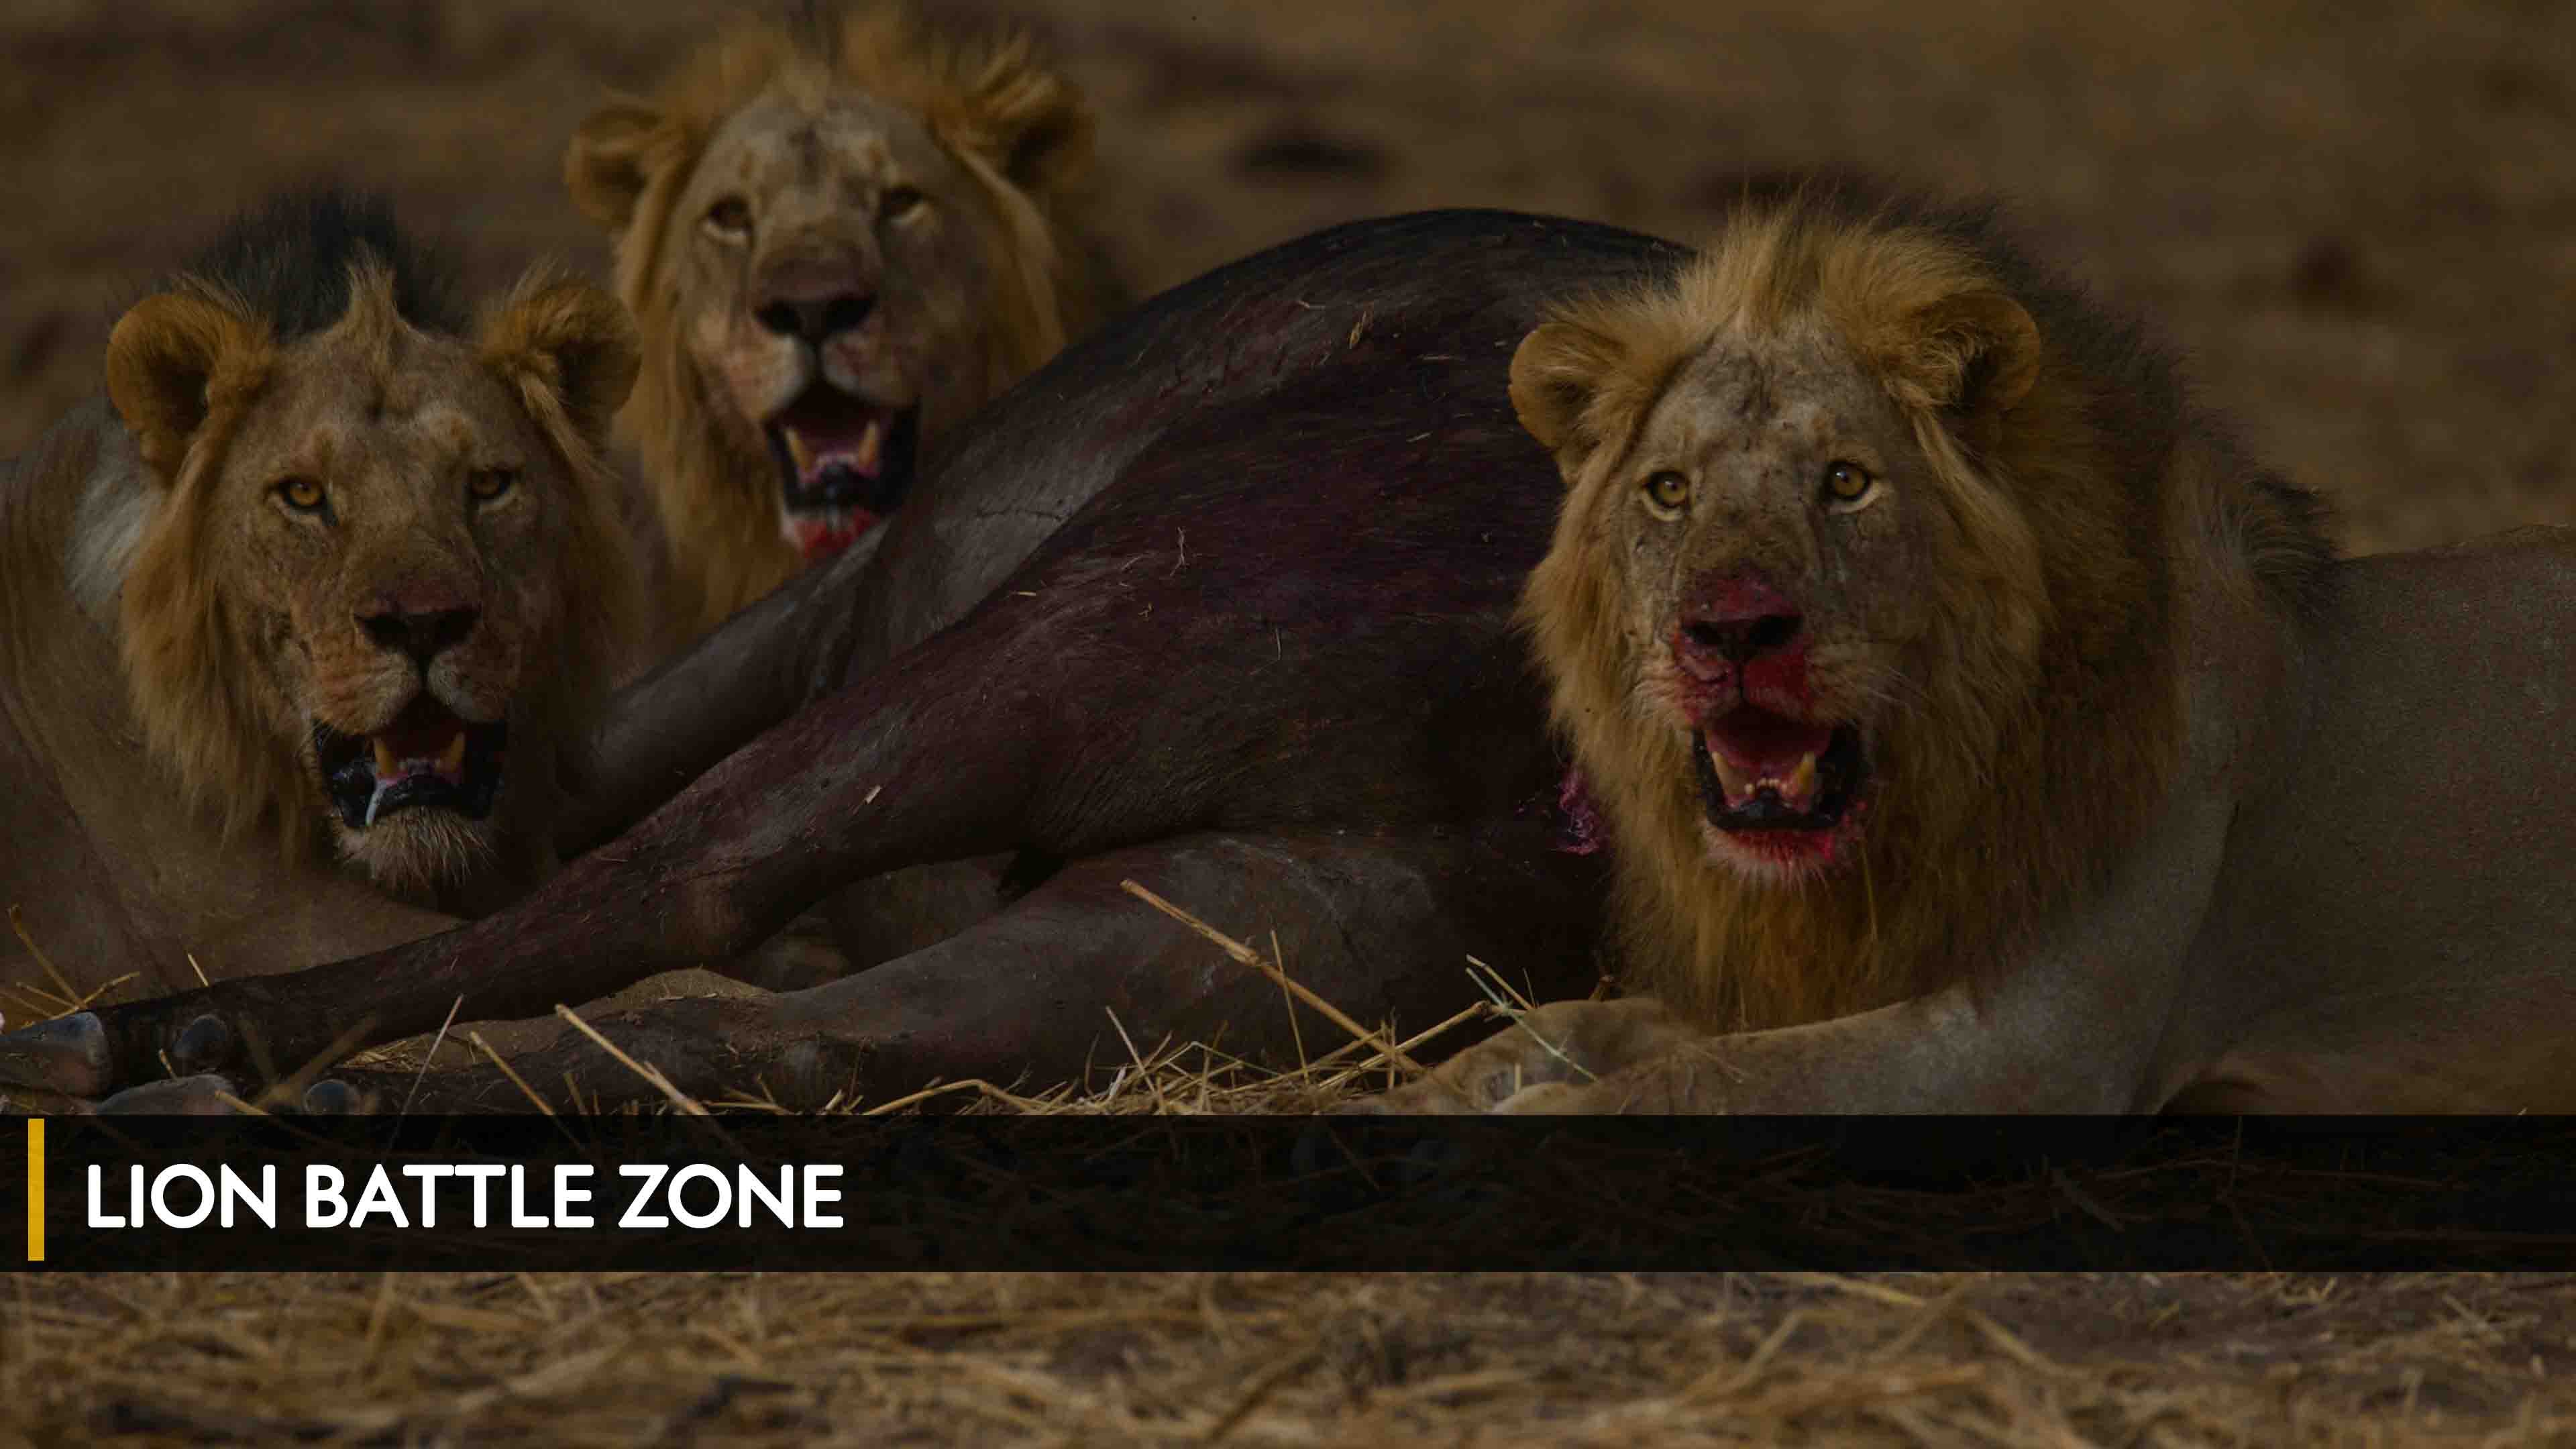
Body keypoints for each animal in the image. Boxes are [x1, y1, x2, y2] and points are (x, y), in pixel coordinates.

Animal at [1363, 178, 2576, 1114]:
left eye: (1846, 482)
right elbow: (1569, 1028)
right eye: (1669, 491)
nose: (1730, 628)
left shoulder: (2031, 1047)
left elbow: (1703, 1082)